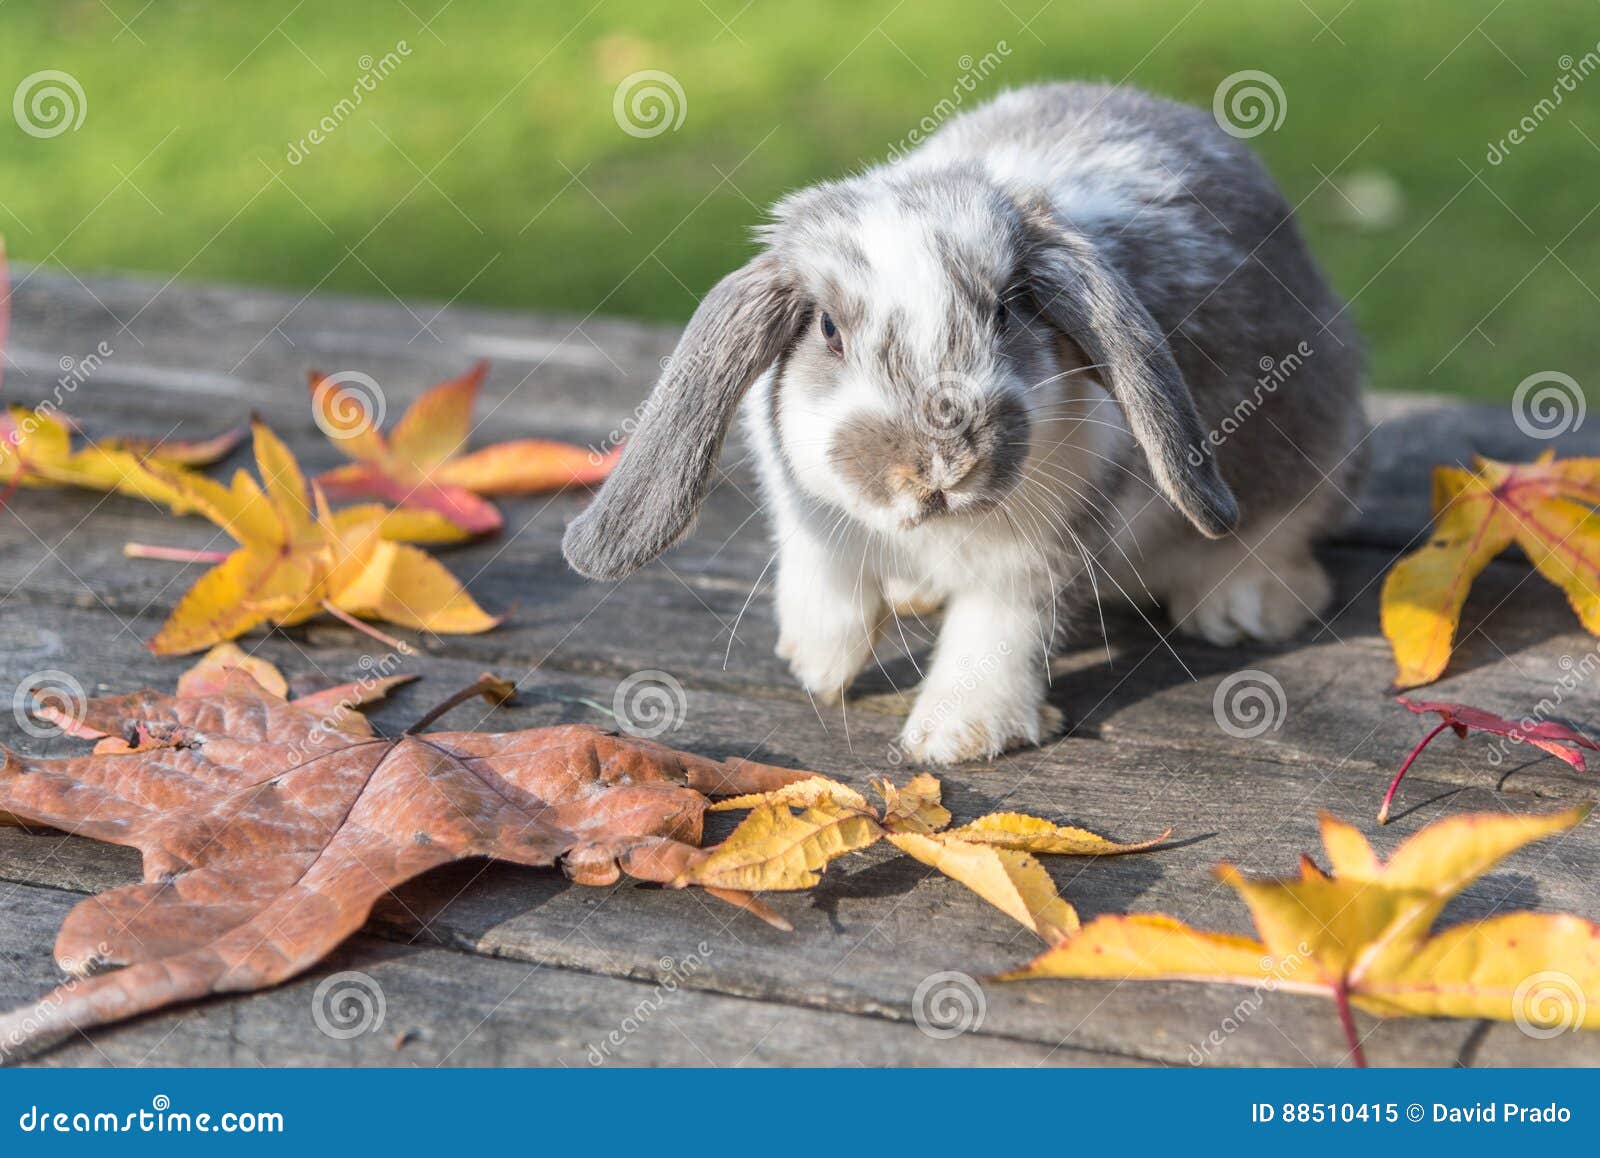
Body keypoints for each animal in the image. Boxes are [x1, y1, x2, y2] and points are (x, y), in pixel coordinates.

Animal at [563, 81, 1366, 764]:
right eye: (828, 329)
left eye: (1008, 310)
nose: (938, 468)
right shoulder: (805, 509)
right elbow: (826, 574)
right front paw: (817, 665)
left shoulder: (1040, 542)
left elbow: (998, 626)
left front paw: (958, 737)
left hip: (1313, 442)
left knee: (1288, 526)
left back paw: (1243, 607)